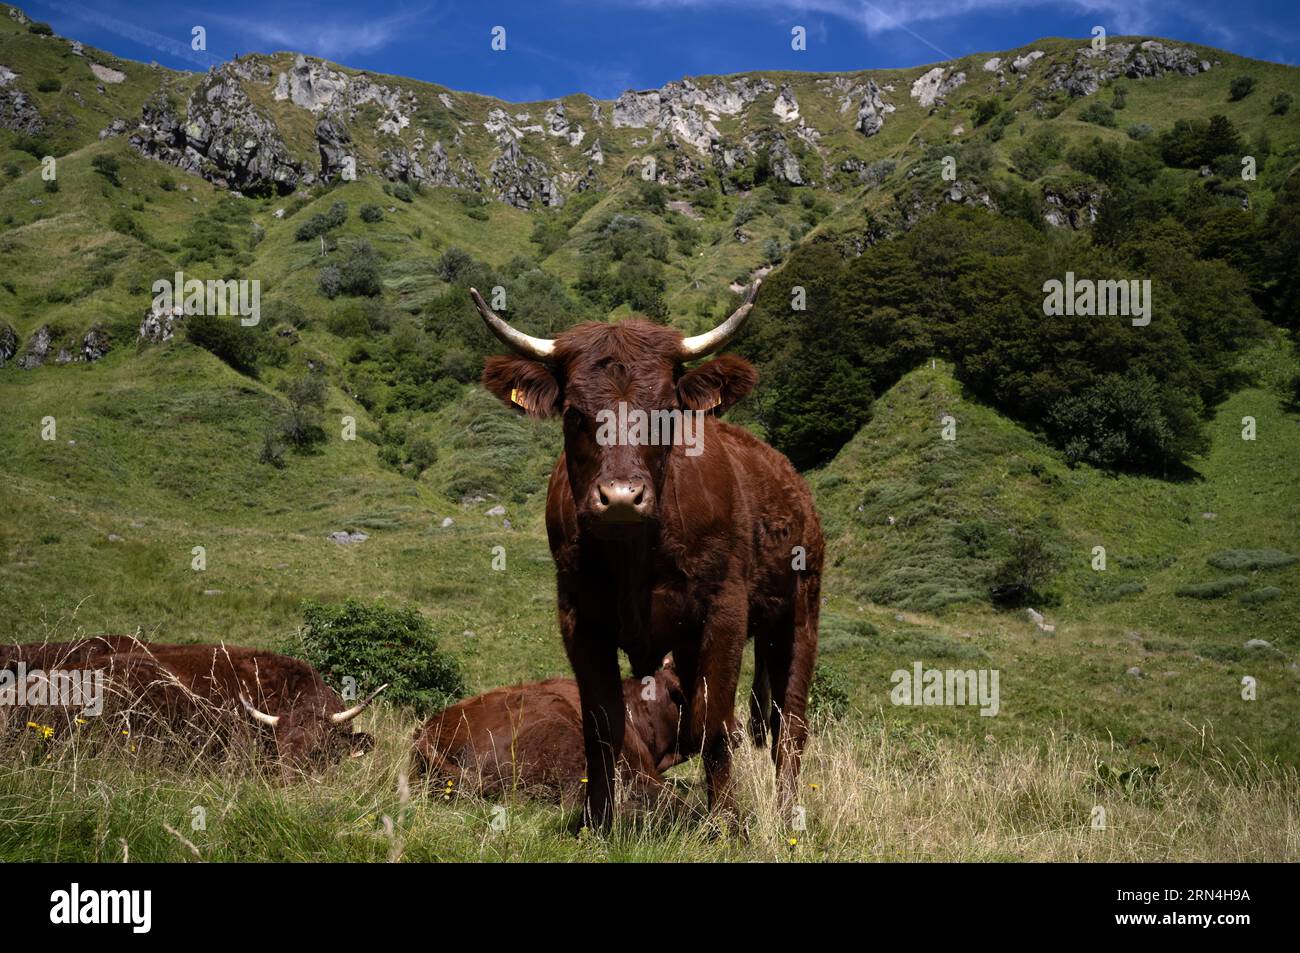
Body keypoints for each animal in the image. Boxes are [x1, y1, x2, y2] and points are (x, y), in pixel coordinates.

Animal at [472, 279, 823, 829]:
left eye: (666, 412)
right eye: (574, 413)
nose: (620, 496)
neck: (635, 552)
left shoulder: (724, 610)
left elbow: (716, 725)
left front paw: (727, 825)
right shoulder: (579, 618)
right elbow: (601, 726)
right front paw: (598, 823)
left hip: (799, 615)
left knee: (790, 725)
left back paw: (789, 816)